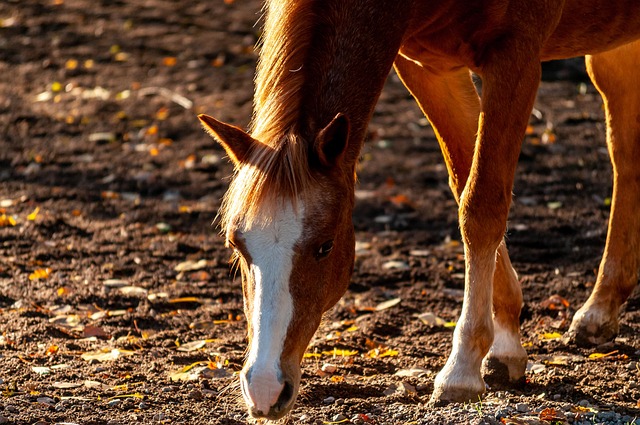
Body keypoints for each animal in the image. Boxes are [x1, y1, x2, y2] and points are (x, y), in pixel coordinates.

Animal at [199, 0, 640, 420]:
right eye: (238, 246)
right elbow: (464, 183)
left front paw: (462, 370)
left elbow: (482, 206)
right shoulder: (427, 71)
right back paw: (600, 310)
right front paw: (505, 344)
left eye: (325, 246)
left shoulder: (516, 57)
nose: (264, 388)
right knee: (626, 155)